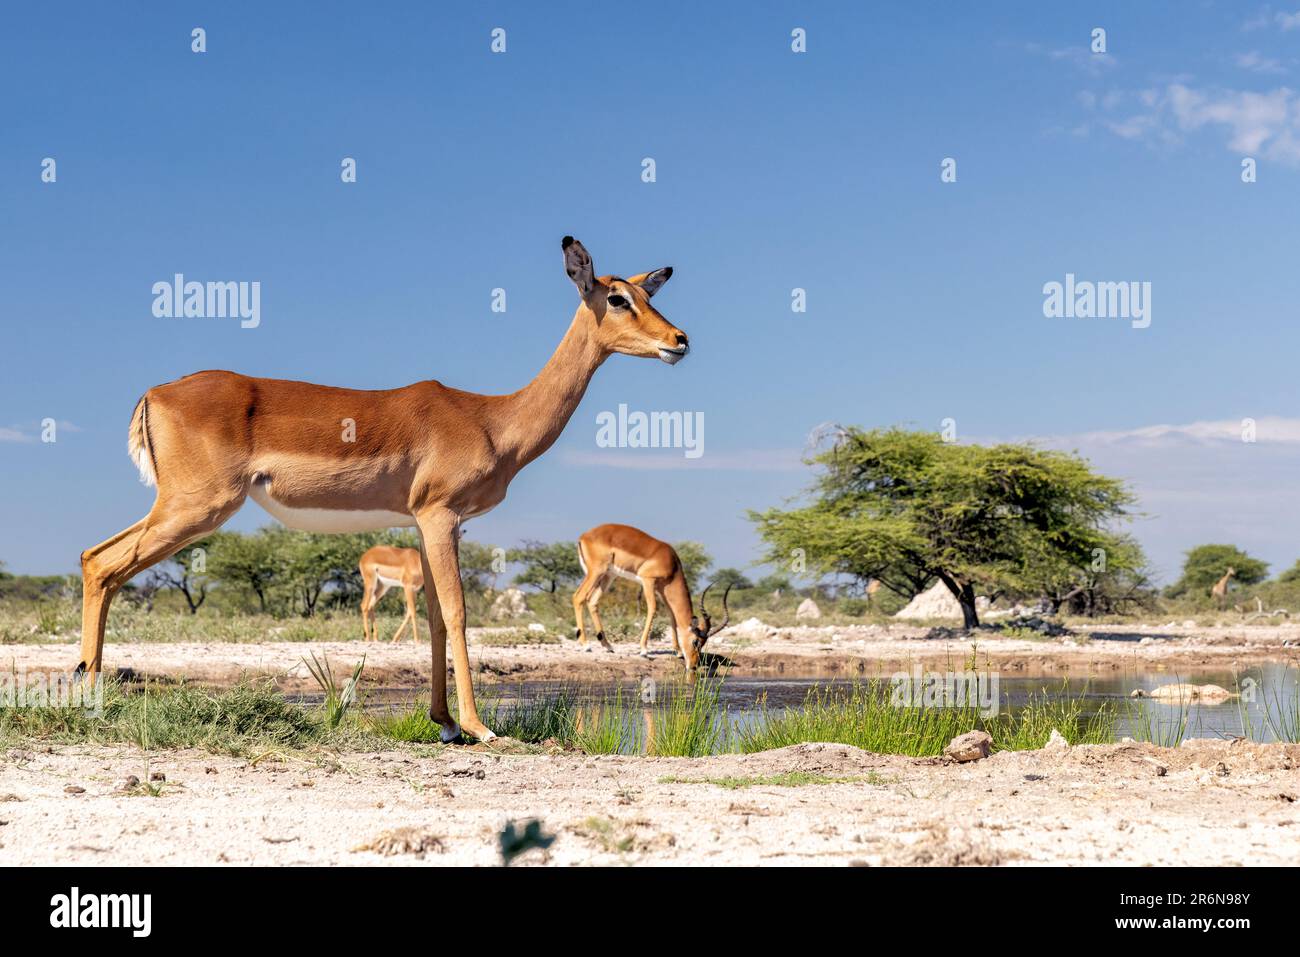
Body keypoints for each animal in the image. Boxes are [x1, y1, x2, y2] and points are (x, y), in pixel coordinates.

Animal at [77, 237, 689, 742]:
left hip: (179, 507)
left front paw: (445, 724)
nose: (679, 340)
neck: (492, 420)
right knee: (103, 565)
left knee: (92, 557)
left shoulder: (426, 523)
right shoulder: (441, 514)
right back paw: (89, 701)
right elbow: (459, 613)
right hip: (196, 507)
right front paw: (480, 727)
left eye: (646, 292)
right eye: (616, 298)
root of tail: (155, 393)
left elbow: (437, 617)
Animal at [572, 523, 730, 670]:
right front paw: (644, 650)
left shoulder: (662, 590)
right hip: (597, 571)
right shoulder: (648, 581)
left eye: (703, 644)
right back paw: (586, 645)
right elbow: (652, 609)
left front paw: (678, 651)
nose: (693, 666)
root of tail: (584, 536)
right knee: (578, 597)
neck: (671, 563)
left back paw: (608, 646)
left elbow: (672, 615)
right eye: (695, 641)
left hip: (609, 575)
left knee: (592, 601)